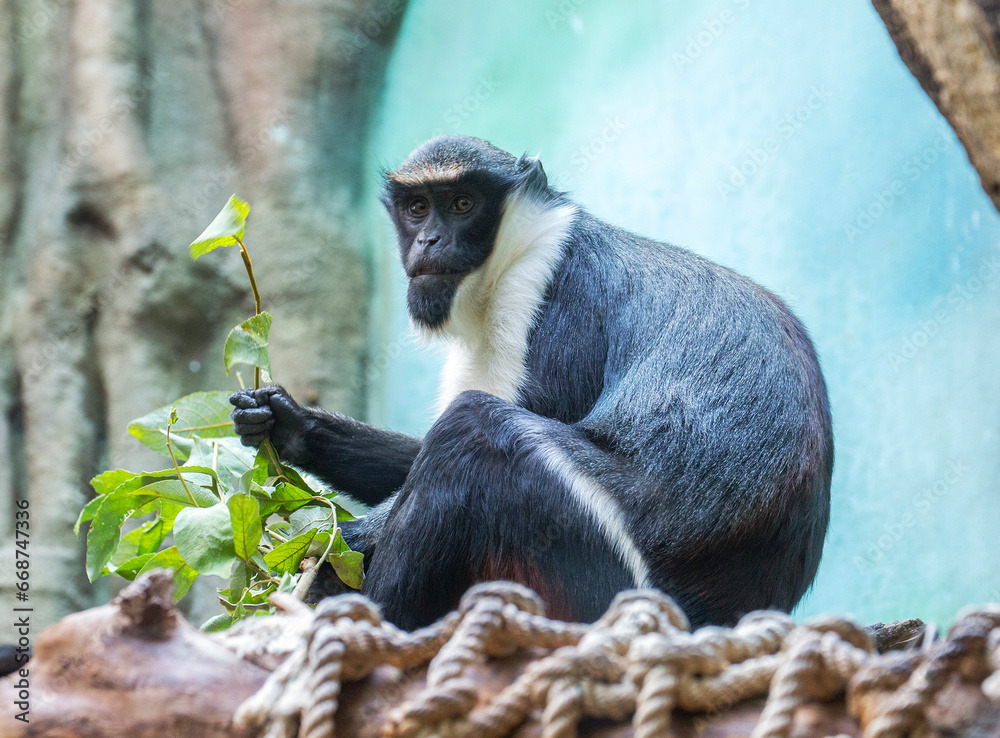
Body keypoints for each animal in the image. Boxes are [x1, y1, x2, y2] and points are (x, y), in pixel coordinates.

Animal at [230, 135, 832, 630]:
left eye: (463, 204)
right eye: (417, 207)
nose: (428, 242)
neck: (503, 263)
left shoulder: (556, 292)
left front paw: (328, 550)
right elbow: (411, 460)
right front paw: (284, 423)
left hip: (594, 577)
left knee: (476, 430)